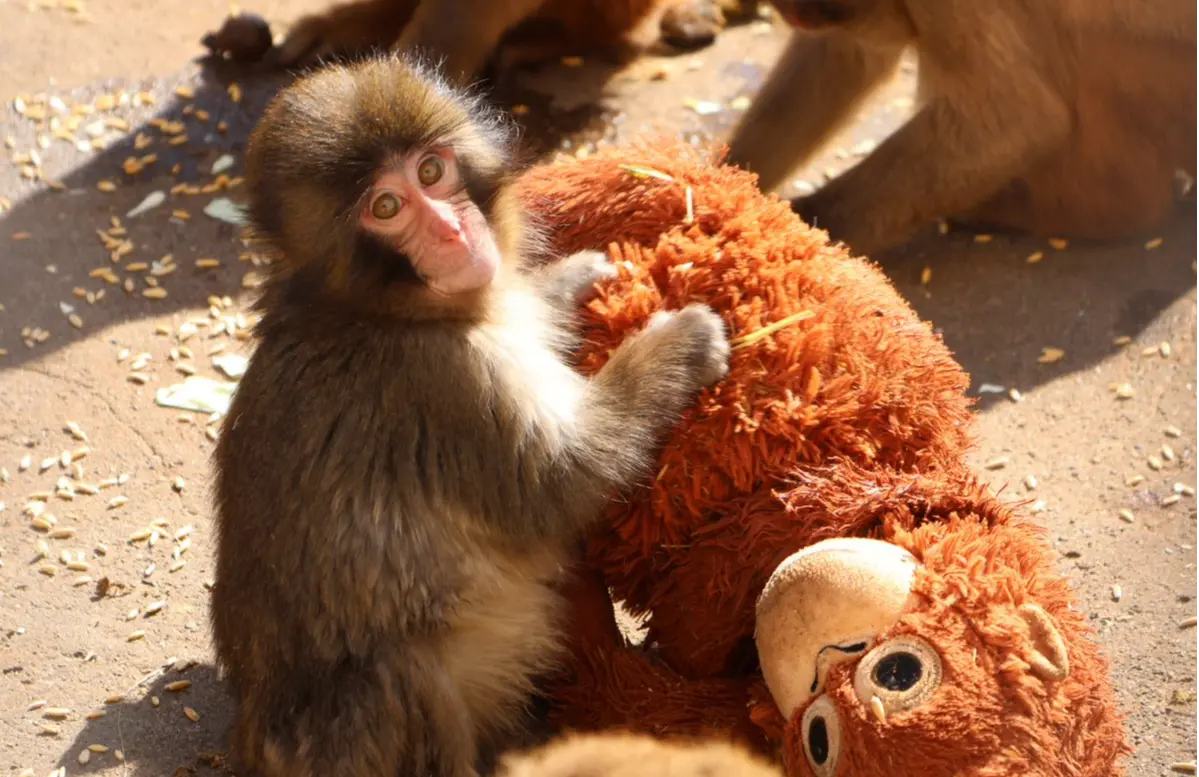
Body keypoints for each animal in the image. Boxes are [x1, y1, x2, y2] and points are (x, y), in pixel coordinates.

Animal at [209, 54, 731, 777]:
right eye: (387, 207)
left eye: (431, 171)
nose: (452, 232)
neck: (379, 311)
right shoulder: (447, 383)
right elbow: (558, 485)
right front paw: (676, 345)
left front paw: (572, 280)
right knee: (398, 671)